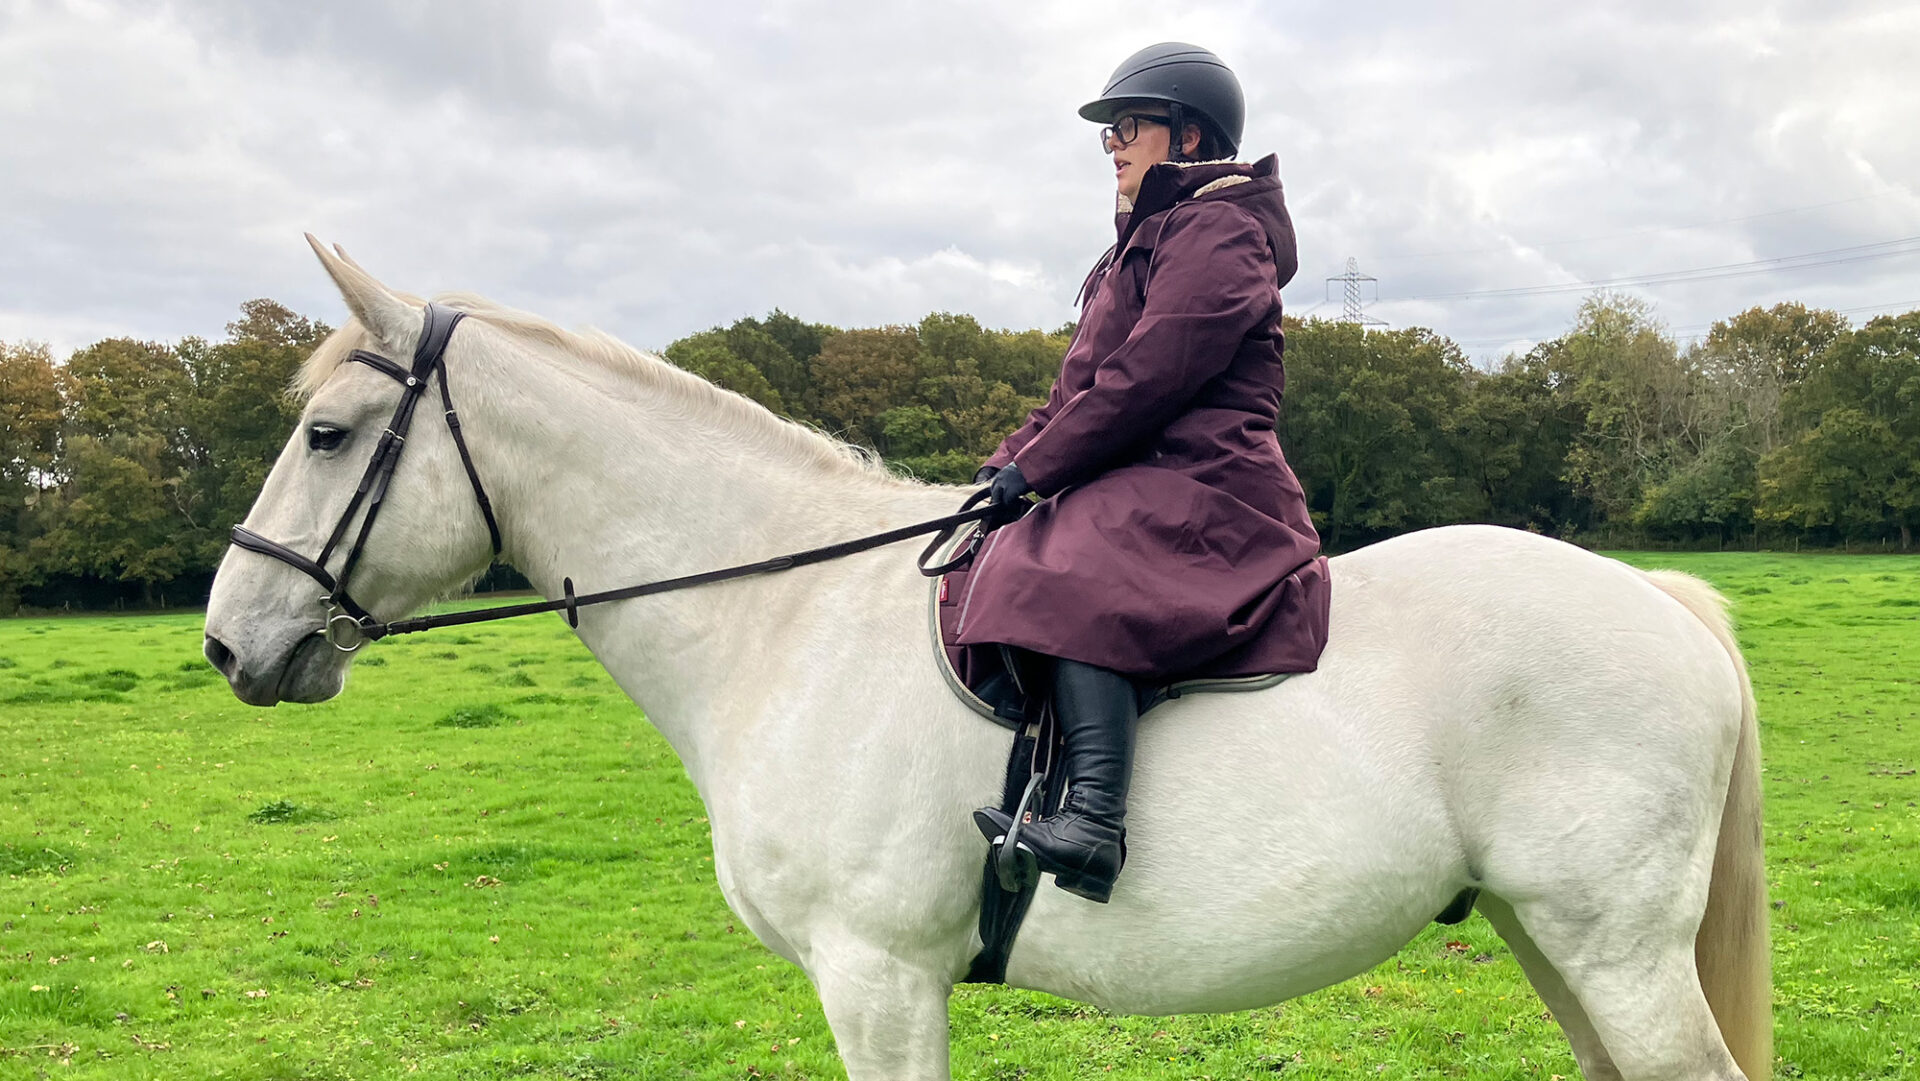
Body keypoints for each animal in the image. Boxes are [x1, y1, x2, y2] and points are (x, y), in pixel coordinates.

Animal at [203, 237, 1770, 1081]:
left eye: (328, 435)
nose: (231, 640)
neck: (784, 623)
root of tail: (1660, 602)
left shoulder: (876, 977)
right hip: (1549, 934)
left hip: (1611, 943)